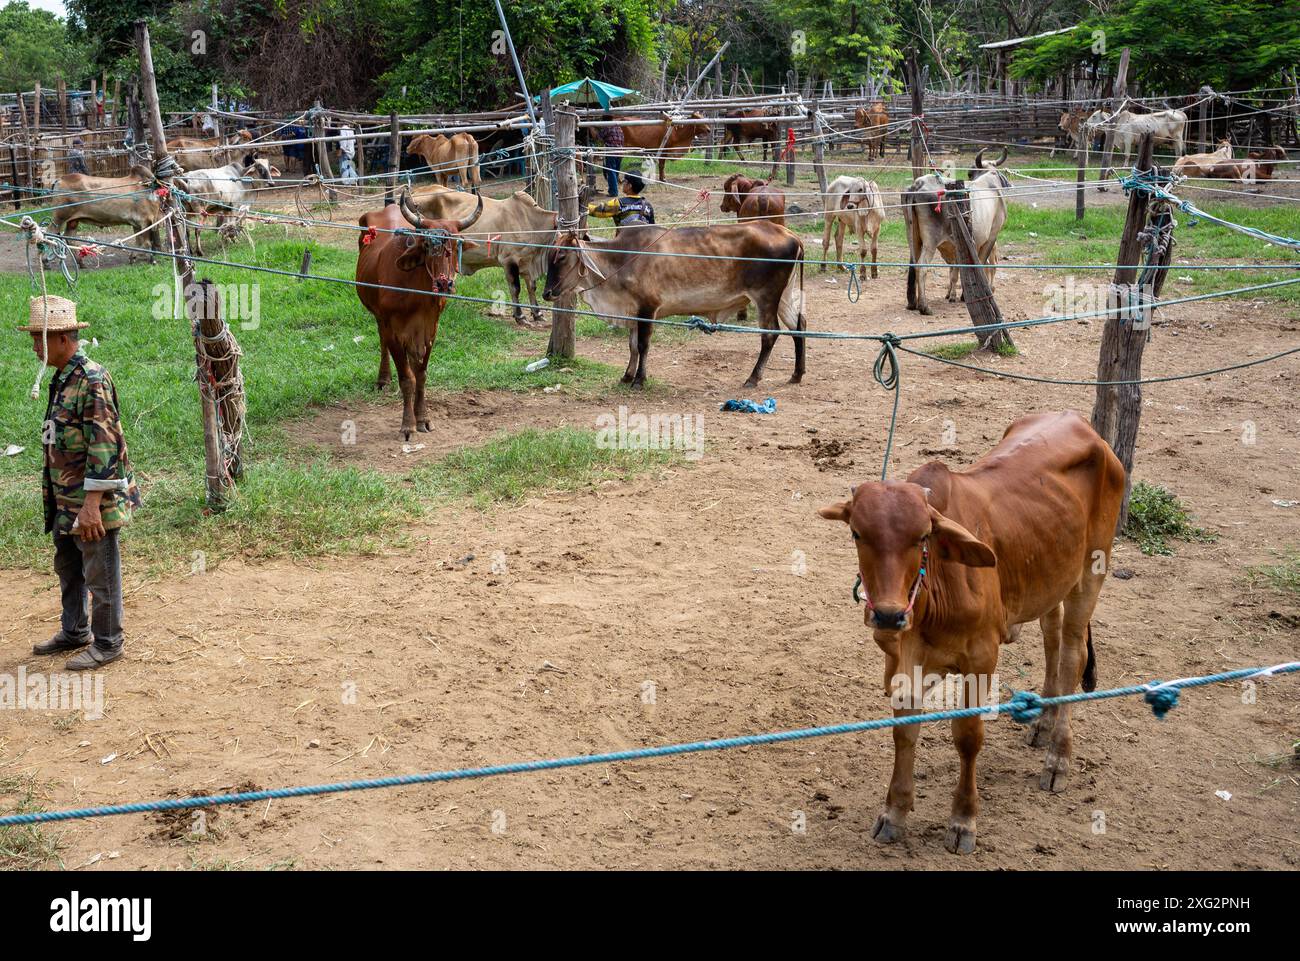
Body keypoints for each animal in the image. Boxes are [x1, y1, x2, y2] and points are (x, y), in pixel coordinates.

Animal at [355, 188, 484, 439]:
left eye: (456, 244)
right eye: (427, 245)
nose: (445, 284)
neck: (414, 295)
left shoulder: (429, 330)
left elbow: (421, 374)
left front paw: (422, 418)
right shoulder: (394, 332)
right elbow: (407, 378)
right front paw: (408, 425)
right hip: (379, 317)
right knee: (382, 340)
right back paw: (383, 379)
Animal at [410, 184, 557, 327]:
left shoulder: (527, 262)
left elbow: (531, 287)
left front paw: (538, 314)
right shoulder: (509, 260)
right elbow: (516, 288)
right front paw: (520, 317)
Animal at [542, 221, 807, 389]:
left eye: (562, 256)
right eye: (548, 257)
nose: (546, 293)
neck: (621, 259)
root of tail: (790, 234)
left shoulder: (647, 309)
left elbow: (643, 345)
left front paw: (639, 380)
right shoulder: (633, 312)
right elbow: (632, 346)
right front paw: (627, 376)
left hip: (766, 297)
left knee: (770, 334)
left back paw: (753, 378)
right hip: (783, 296)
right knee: (799, 325)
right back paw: (797, 373)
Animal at [818, 410, 1125, 854]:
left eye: (922, 536)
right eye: (857, 533)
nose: (889, 616)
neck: (932, 596)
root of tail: (1080, 424)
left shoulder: (980, 658)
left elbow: (967, 737)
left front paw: (963, 821)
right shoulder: (904, 661)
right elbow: (904, 731)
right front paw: (894, 814)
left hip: (1091, 570)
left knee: (1072, 653)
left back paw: (1058, 758)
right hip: (1050, 576)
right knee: (1051, 638)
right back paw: (1044, 722)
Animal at [901, 148, 1009, 315]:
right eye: (970, 174)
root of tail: (917, 185)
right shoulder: (991, 236)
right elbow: (980, 264)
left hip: (913, 237)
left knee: (913, 265)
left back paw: (913, 303)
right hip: (931, 241)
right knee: (922, 266)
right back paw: (924, 306)